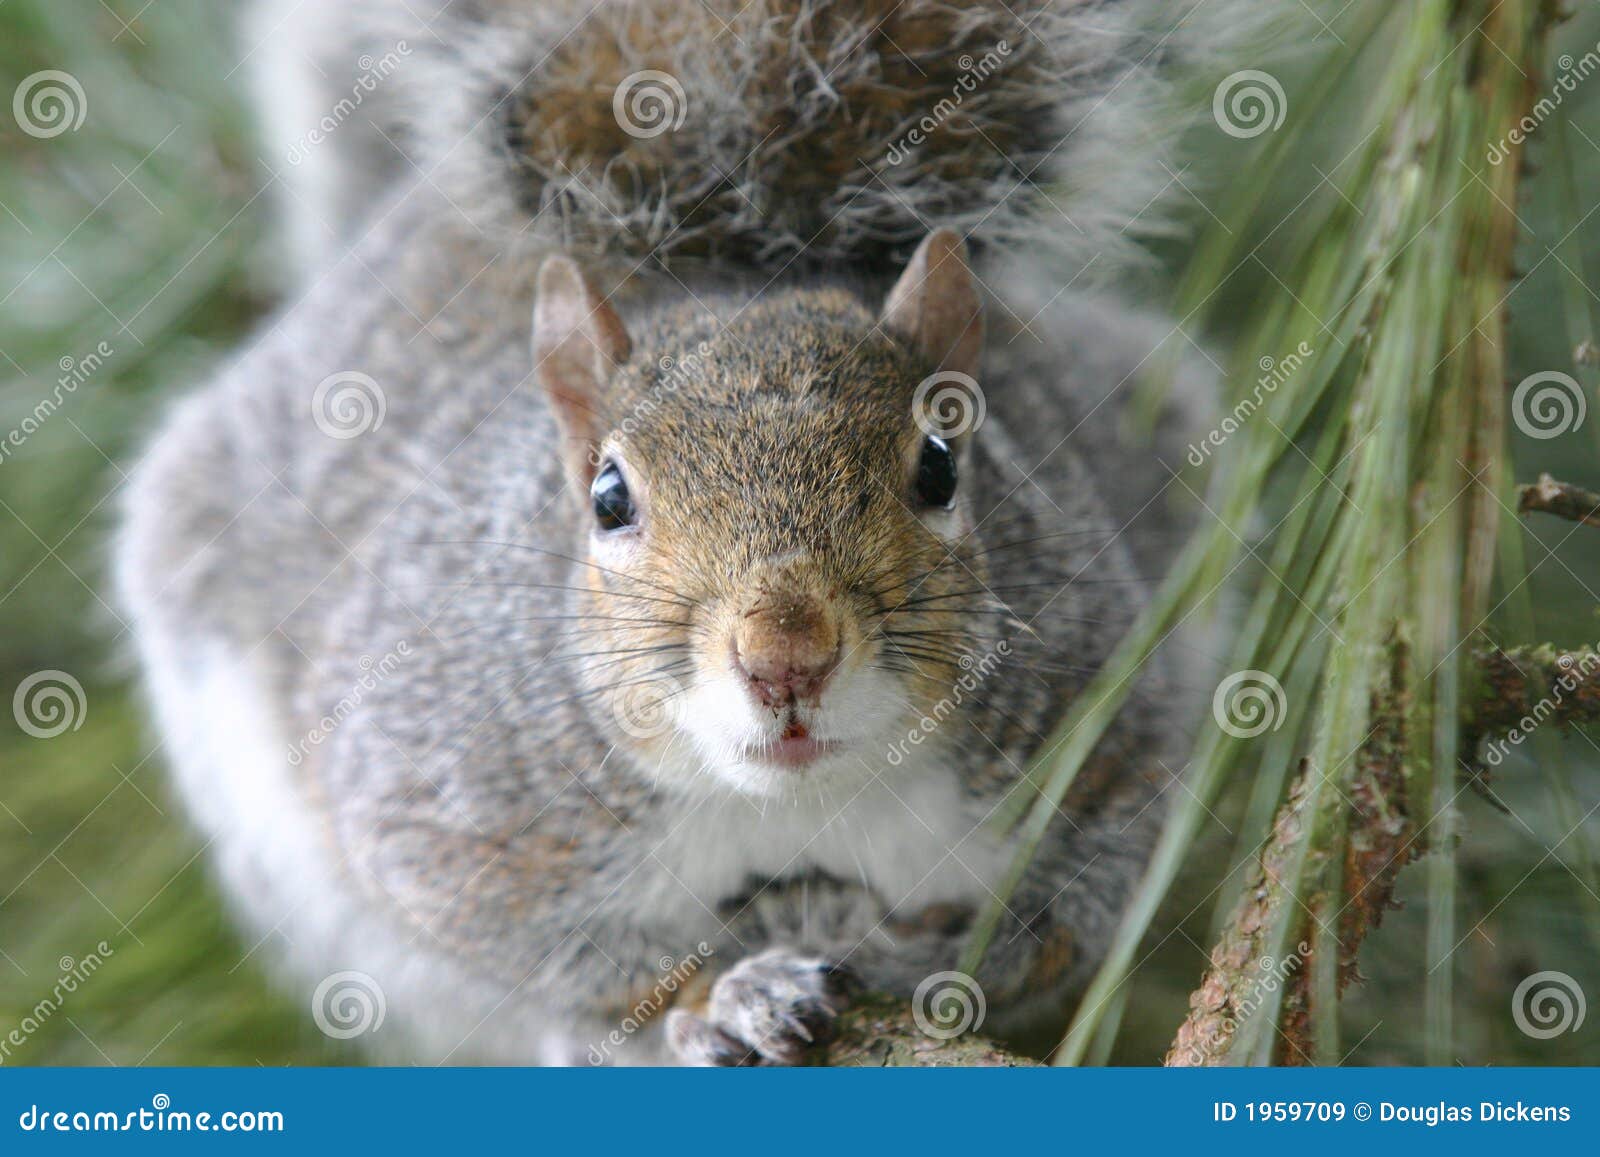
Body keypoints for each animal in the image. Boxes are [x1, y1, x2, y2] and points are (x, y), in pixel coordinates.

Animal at [117, 0, 1225, 1064]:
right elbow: (565, 955)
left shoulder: (1109, 728)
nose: (786, 657)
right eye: (608, 497)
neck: (794, 801)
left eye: (941, 467)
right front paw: (727, 994)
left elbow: (1083, 905)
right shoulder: (453, 808)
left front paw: (948, 953)